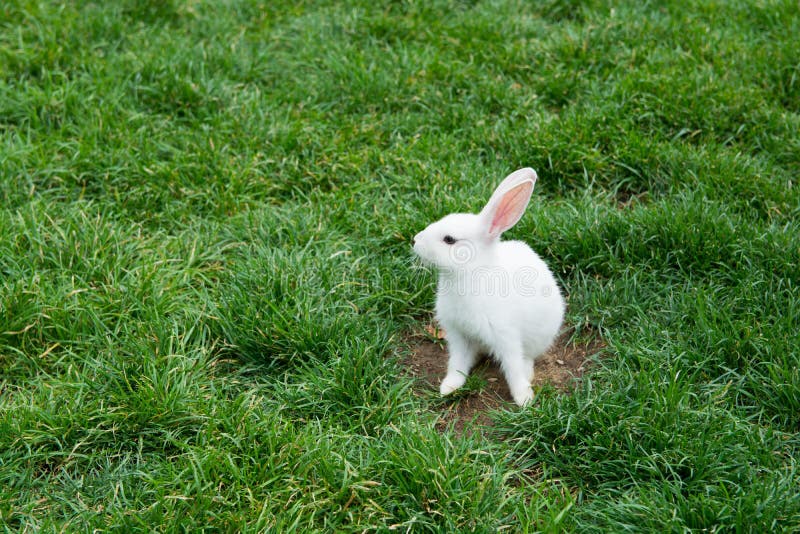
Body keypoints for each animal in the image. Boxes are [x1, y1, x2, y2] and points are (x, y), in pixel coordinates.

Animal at [412, 168, 565, 406]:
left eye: (449, 239)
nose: (415, 240)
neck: (469, 274)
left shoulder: (506, 336)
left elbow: (513, 367)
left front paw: (524, 398)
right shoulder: (459, 335)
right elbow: (457, 363)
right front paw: (448, 387)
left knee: (527, 358)